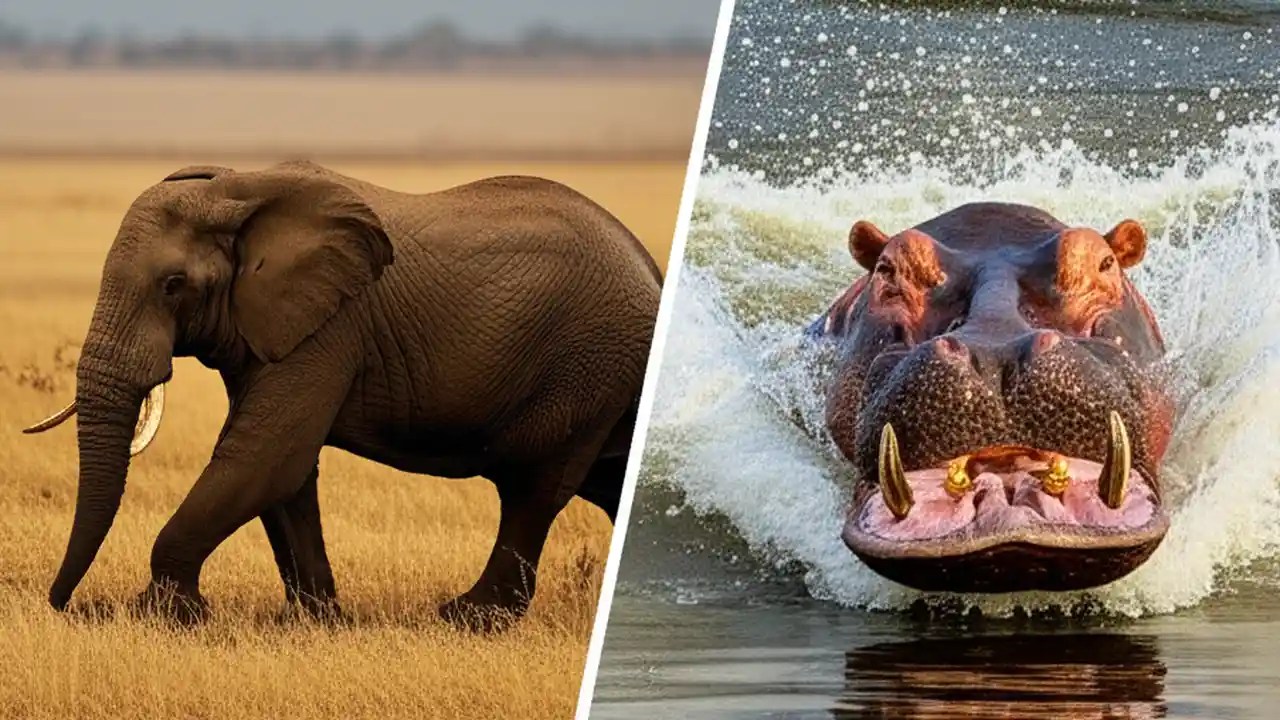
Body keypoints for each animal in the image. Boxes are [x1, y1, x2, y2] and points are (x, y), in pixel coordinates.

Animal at [24, 160, 661, 627]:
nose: (65, 607)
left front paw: (166, 617)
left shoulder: (331, 327)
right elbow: (282, 471)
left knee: (532, 489)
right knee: (602, 482)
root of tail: (649, 268)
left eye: (173, 285)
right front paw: (315, 621)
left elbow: (264, 456)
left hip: (586, 365)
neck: (235, 186)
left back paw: (466, 619)